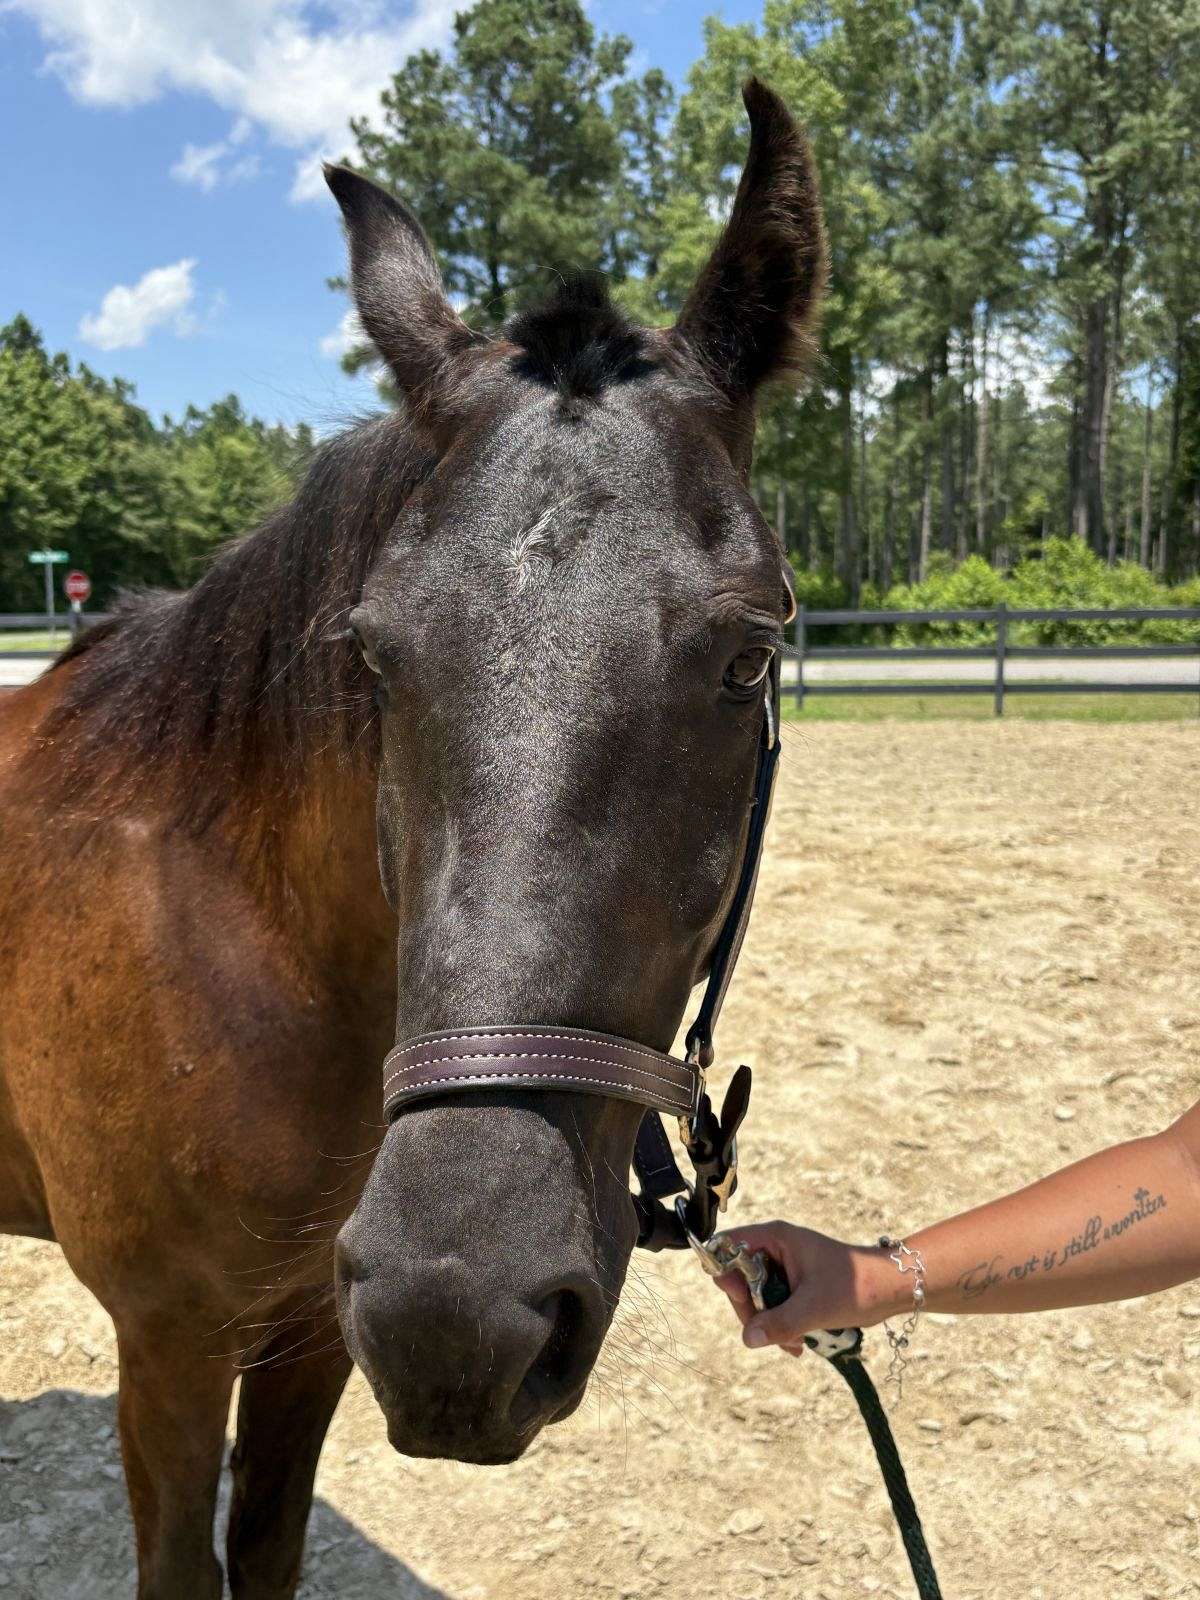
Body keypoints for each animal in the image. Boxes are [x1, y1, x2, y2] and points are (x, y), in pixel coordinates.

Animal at [0, 78, 826, 1599]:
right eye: (372, 655)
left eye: (750, 654)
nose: (463, 1314)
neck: (228, 941)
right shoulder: (169, 1344)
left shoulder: (312, 1327)